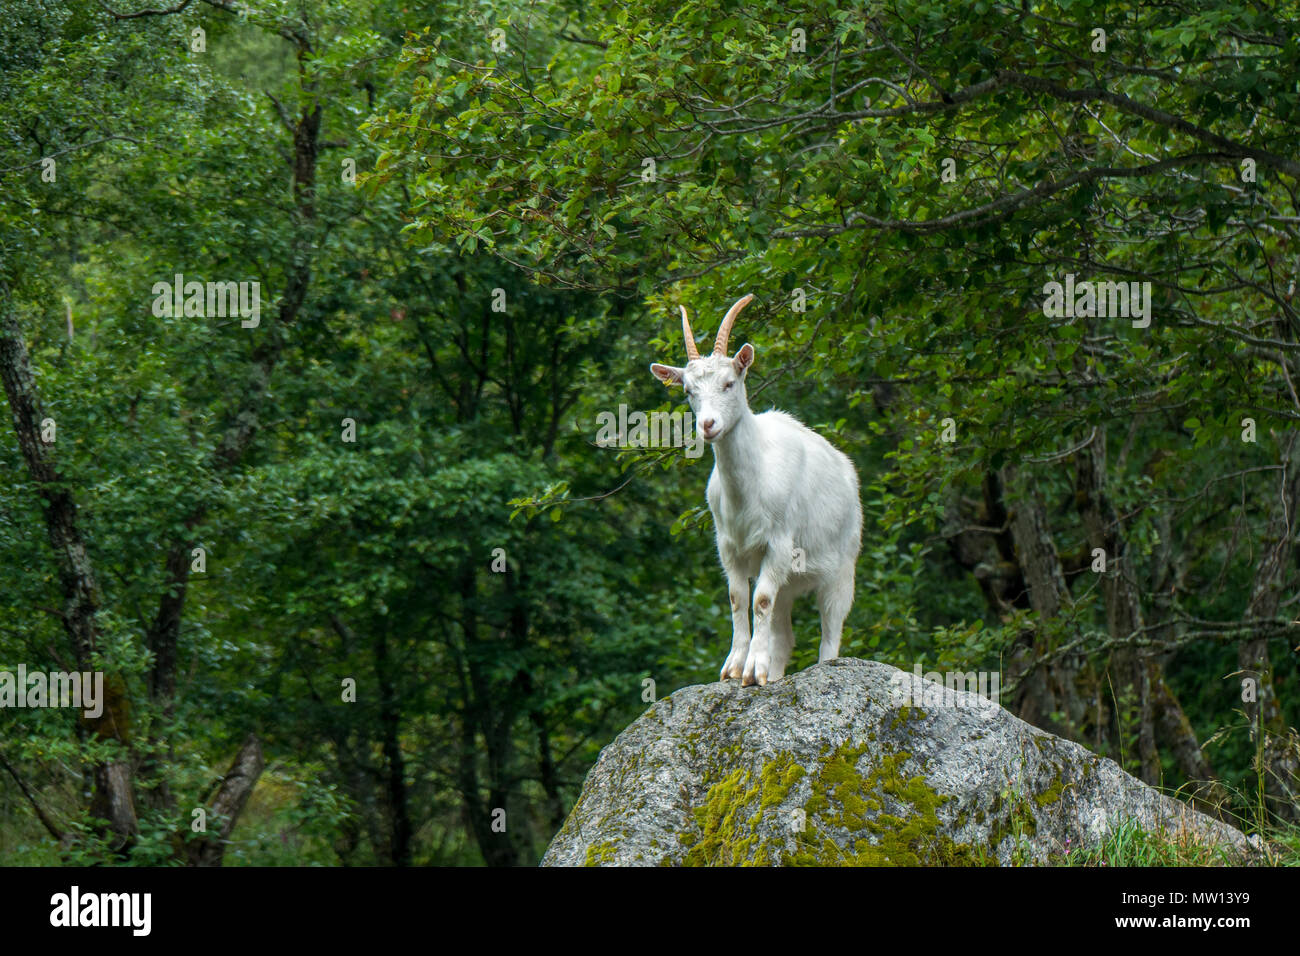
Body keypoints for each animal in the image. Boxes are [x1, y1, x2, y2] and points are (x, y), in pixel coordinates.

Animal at [650, 294, 863, 685]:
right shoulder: (729, 547)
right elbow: (738, 597)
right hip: (790, 582)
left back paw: (822, 665)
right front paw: (736, 668)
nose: (708, 425)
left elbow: (760, 599)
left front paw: (751, 671)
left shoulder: (778, 543)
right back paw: (773, 674)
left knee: (832, 626)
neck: (750, 490)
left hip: (842, 567)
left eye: (730, 383)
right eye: (688, 391)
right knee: (784, 632)